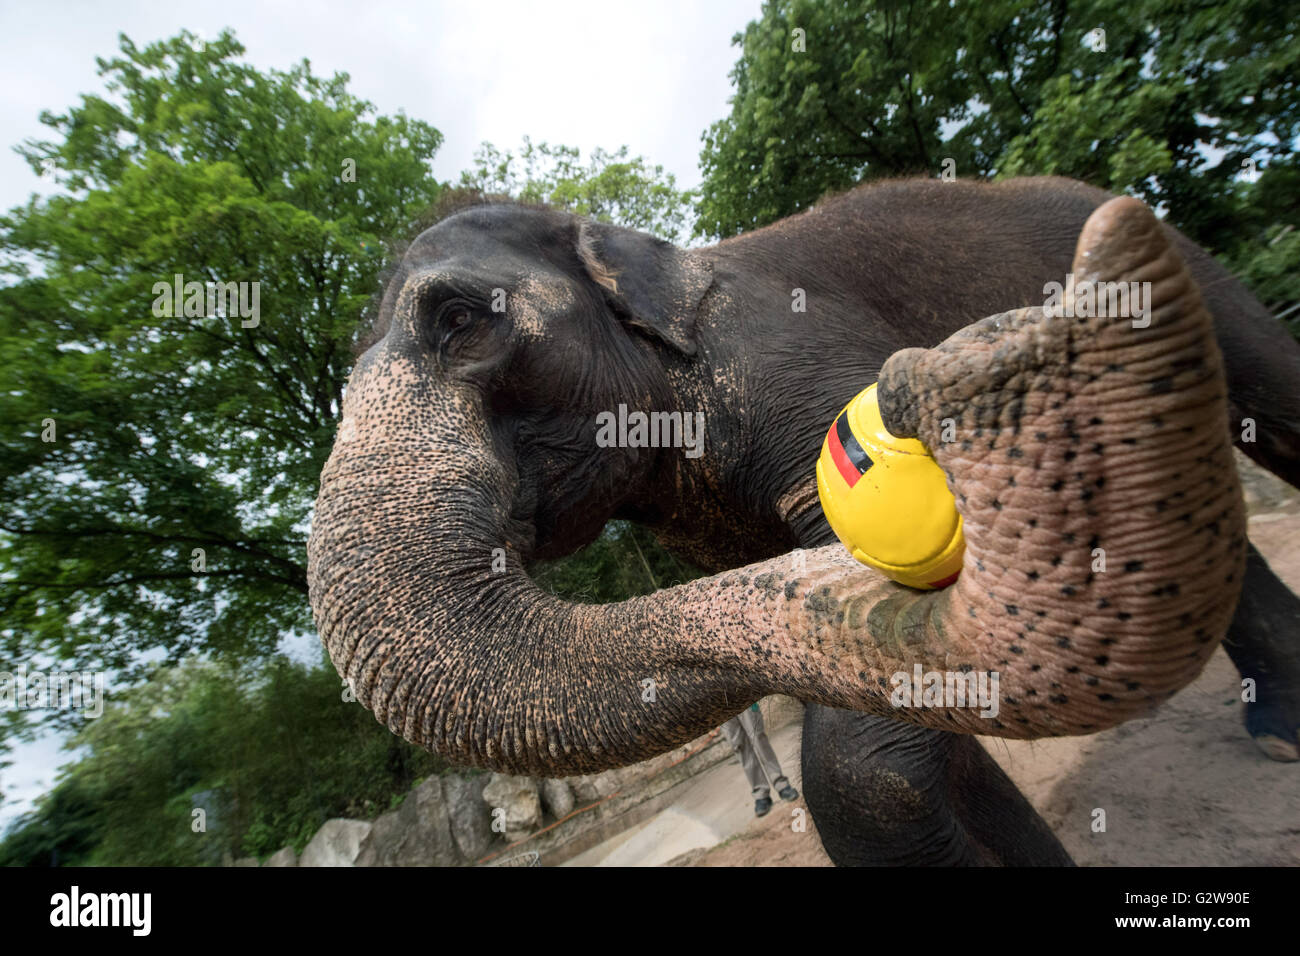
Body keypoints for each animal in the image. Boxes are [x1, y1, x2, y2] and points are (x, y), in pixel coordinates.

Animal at [308, 179, 1300, 866]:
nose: (951, 363)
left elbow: (875, 730)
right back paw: (1278, 730)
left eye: (459, 319)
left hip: (1198, 274)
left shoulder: (788, 357)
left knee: (1280, 406)